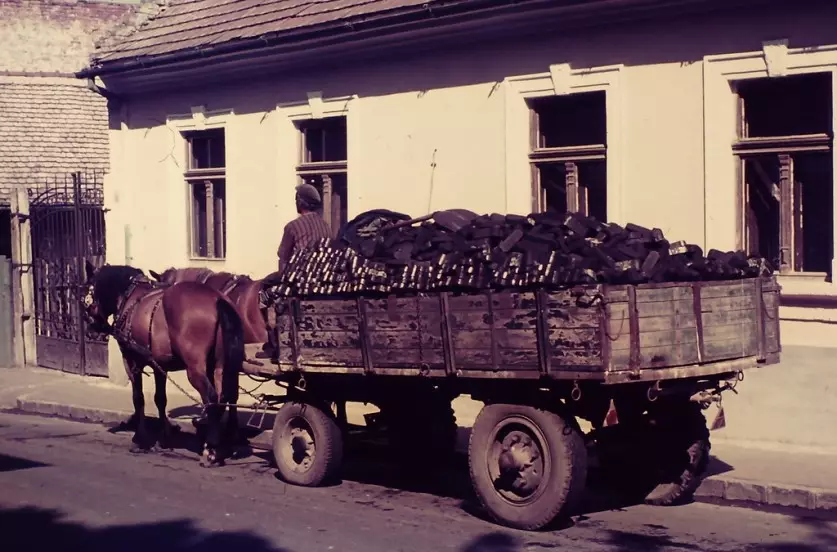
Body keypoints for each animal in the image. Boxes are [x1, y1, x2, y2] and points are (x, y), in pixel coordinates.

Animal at [83, 262, 243, 466]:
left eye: (87, 293)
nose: (91, 329)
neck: (128, 296)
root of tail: (218, 299)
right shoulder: (159, 365)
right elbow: (160, 399)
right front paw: (165, 437)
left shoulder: (131, 361)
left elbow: (139, 398)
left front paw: (139, 439)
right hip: (221, 365)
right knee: (225, 396)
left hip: (195, 369)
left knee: (211, 397)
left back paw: (211, 449)